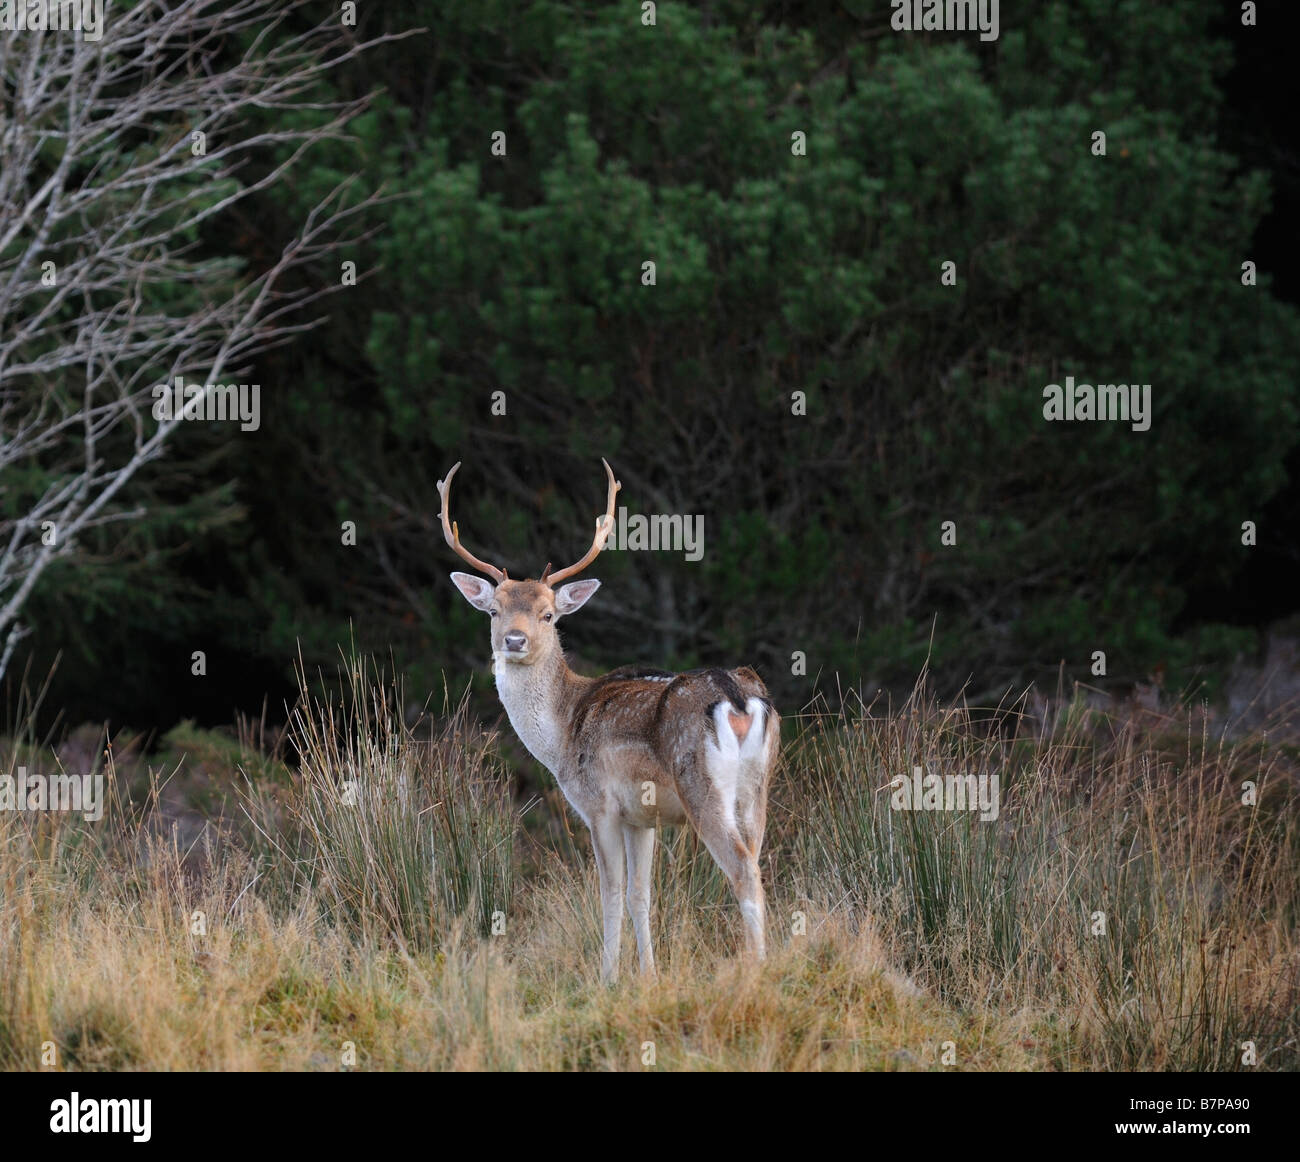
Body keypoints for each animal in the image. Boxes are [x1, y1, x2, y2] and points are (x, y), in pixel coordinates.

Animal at [440, 459, 779, 982]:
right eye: (494, 610)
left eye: (549, 614)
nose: (514, 640)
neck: (561, 733)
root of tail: (738, 698)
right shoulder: (642, 817)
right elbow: (642, 894)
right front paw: (649, 976)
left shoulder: (598, 804)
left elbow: (611, 893)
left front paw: (608, 979)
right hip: (758, 788)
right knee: (758, 863)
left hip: (702, 786)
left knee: (742, 870)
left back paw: (757, 970)